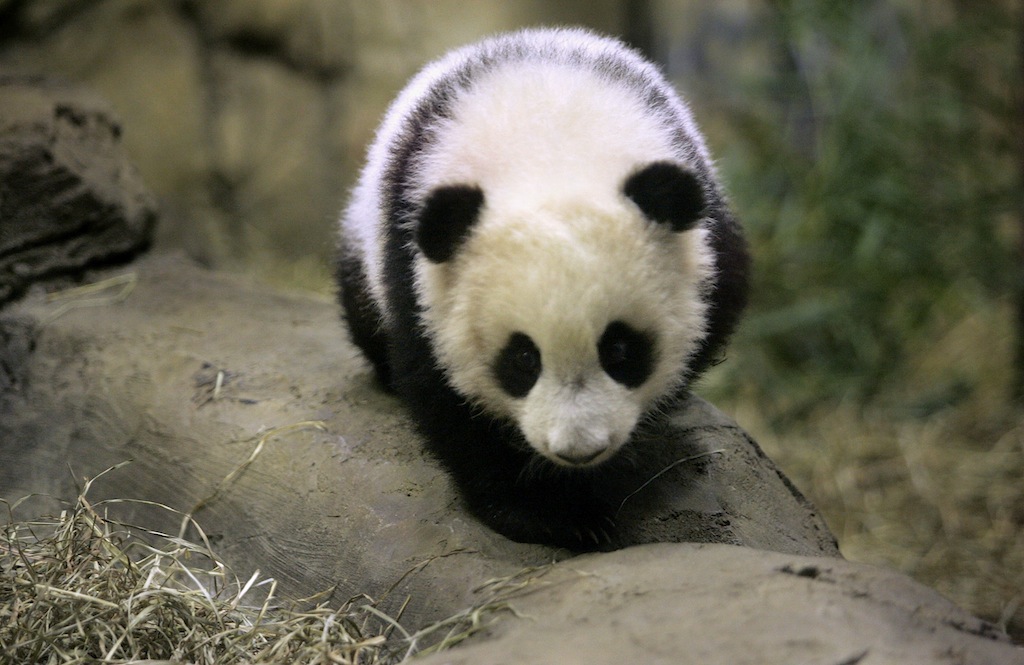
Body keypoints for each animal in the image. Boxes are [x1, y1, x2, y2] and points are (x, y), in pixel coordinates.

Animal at [336, 27, 749, 551]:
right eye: (522, 359)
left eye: (620, 349)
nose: (579, 450)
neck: (550, 154)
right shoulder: (417, 268)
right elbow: (443, 392)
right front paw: (553, 513)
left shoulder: (710, 245)